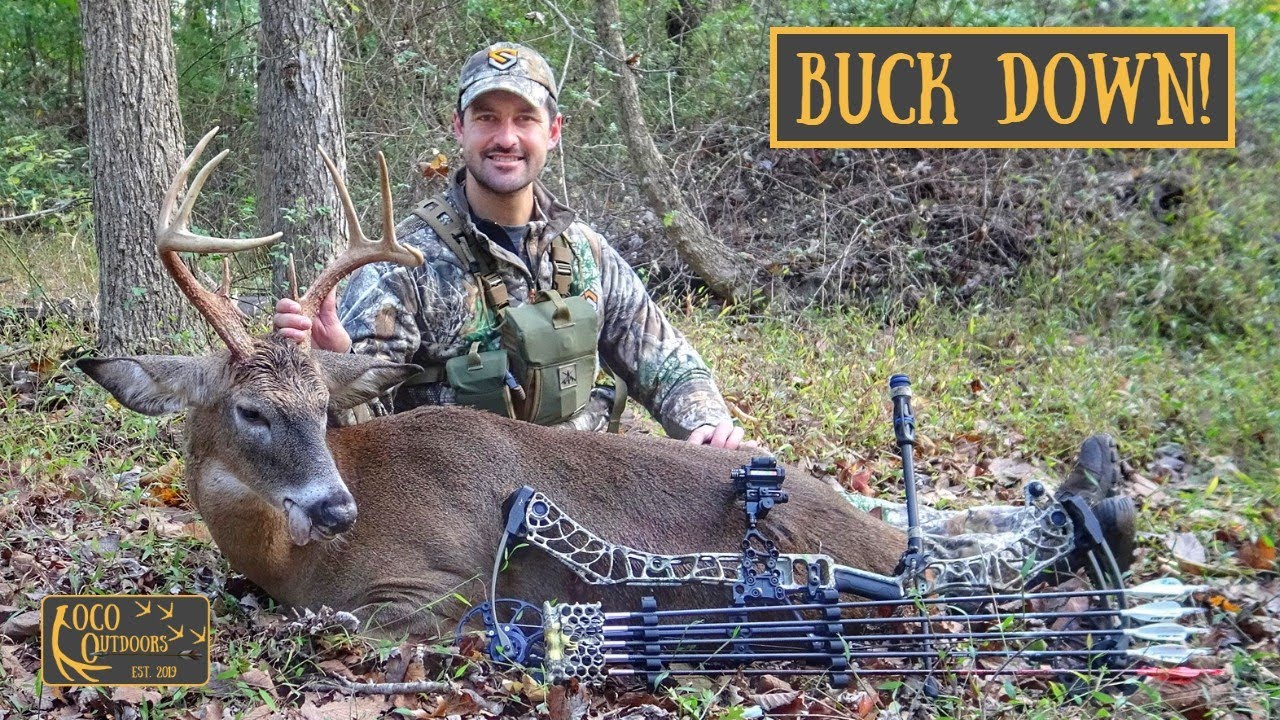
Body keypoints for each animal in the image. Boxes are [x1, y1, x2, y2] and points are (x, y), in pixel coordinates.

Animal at [77, 129, 909, 638]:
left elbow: (350, 620)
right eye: (251, 410)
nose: (338, 508)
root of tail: (898, 549)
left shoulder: (446, 583)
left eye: (320, 409)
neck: (291, 562)